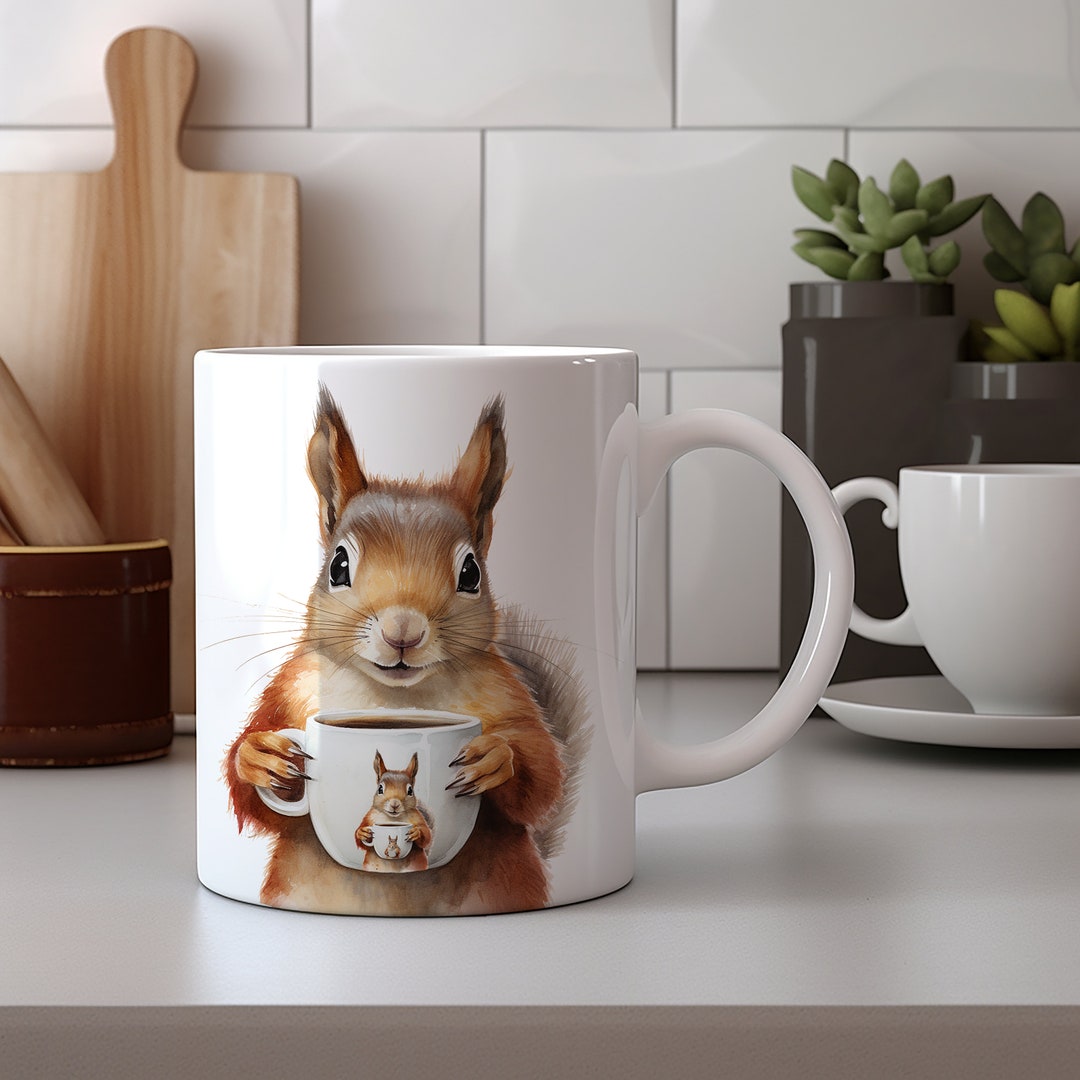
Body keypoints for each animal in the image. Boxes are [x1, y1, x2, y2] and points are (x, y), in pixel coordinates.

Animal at [225, 387, 571, 916]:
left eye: (471, 572)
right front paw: (261, 755)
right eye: (338, 565)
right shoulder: (291, 691)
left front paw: (494, 757)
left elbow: (541, 772)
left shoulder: (509, 696)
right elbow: (253, 791)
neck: (395, 698)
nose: (402, 631)